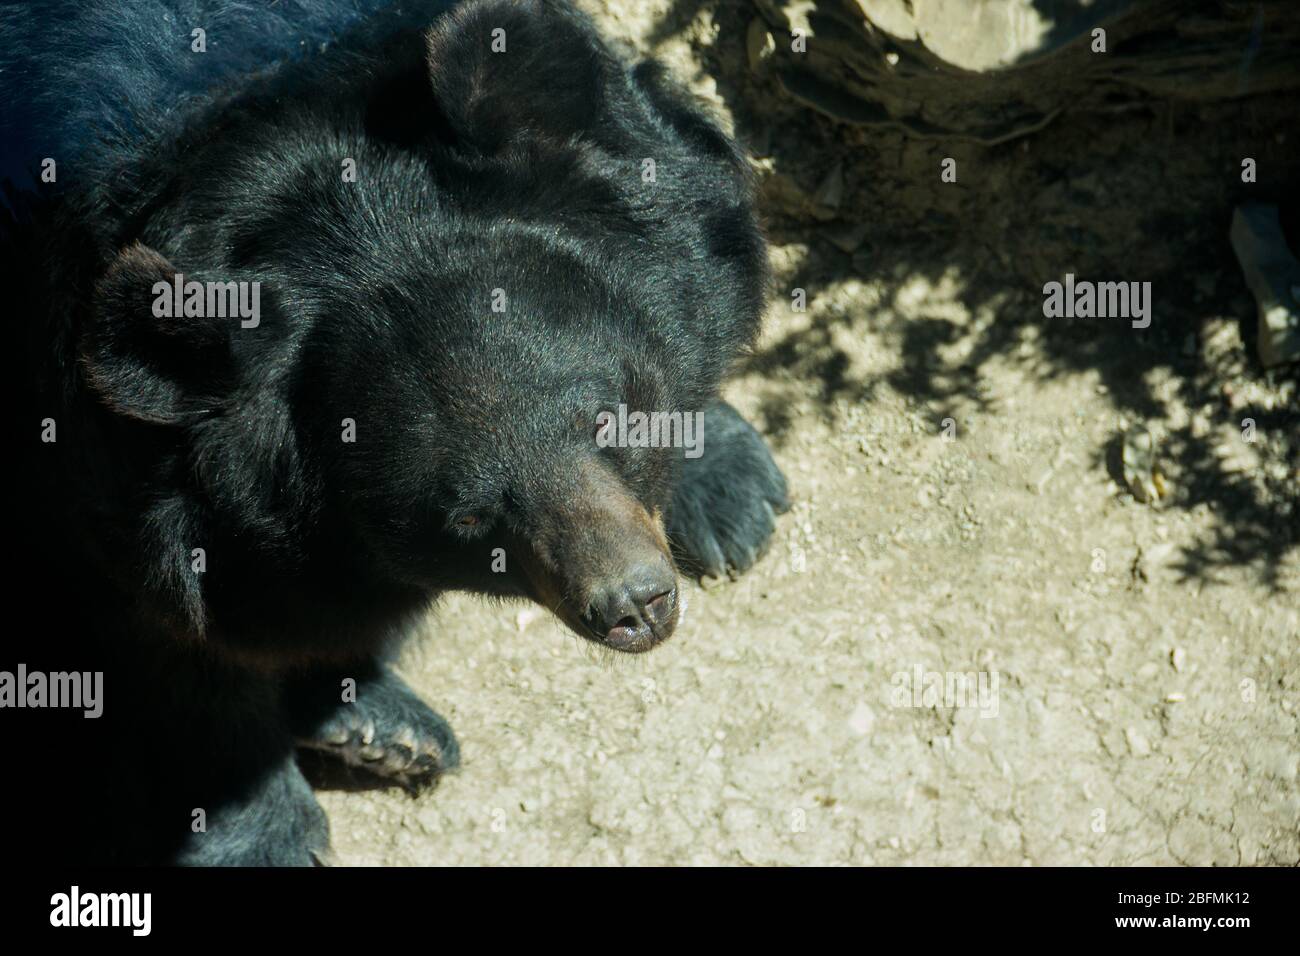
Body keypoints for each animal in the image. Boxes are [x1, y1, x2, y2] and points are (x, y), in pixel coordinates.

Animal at [2, 0, 788, 865]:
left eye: (607, 420)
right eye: (472, 520)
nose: (633, 607)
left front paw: (729, 489)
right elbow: (169, 618)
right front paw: (260, 832)